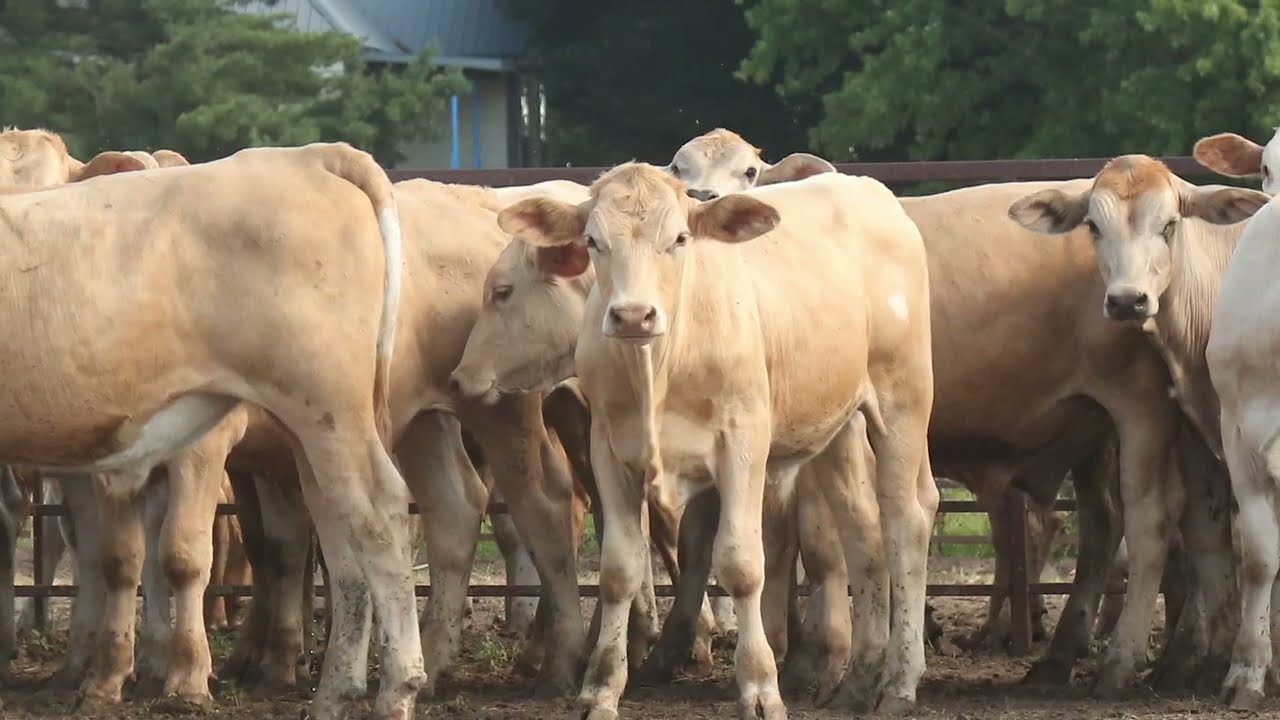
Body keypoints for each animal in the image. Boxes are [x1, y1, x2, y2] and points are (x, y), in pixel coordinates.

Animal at [485, 163, 938, 718]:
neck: (661, 365)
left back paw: (899, 681)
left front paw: (760, 688)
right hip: (838, 425)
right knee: (863, 531)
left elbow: (742, 565)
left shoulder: (742, 444)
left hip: (902, 399)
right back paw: (857, 681)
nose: (633, 315)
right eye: (593, 240)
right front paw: (601, 689)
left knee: (905, 524)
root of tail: (869, 190)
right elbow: (619, 570)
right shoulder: (609, 450)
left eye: (680, 238)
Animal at [1008, 154, 1270, 695]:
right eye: (1093, 226)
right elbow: (1210, 541)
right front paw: (1213, 661)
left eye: (1169, 225)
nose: (1128, 301)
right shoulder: (1203, 441)